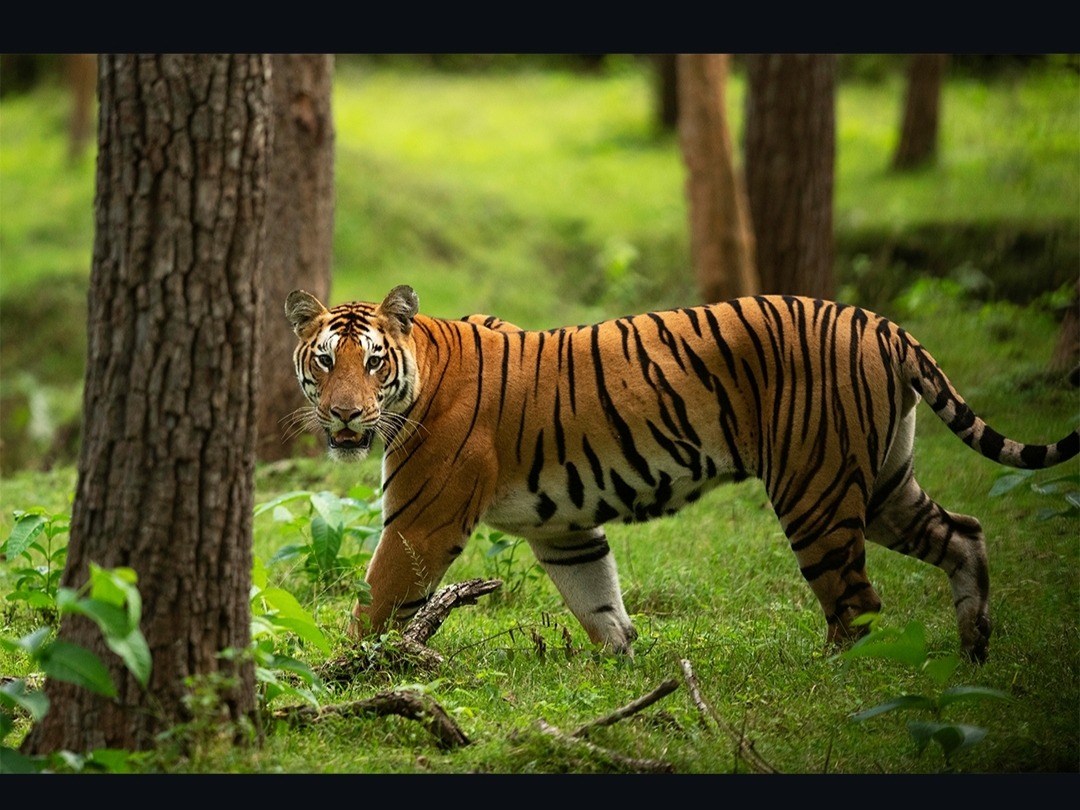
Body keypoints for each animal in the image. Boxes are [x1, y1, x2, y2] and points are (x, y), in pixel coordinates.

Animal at [285, 285, 1079, 663]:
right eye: (324, 361)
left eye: (372, 363)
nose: (345, 415)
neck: (418, 376)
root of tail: (880, 322)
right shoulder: (564, 528)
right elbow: (599, 602)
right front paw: (625, 666)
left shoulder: (420, 524)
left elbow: (373, 607)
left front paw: (336, 679)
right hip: (886, 483)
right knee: (965, 533)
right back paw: (973, 650)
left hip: (816, 490)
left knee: (856, 601)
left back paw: (843, 676)